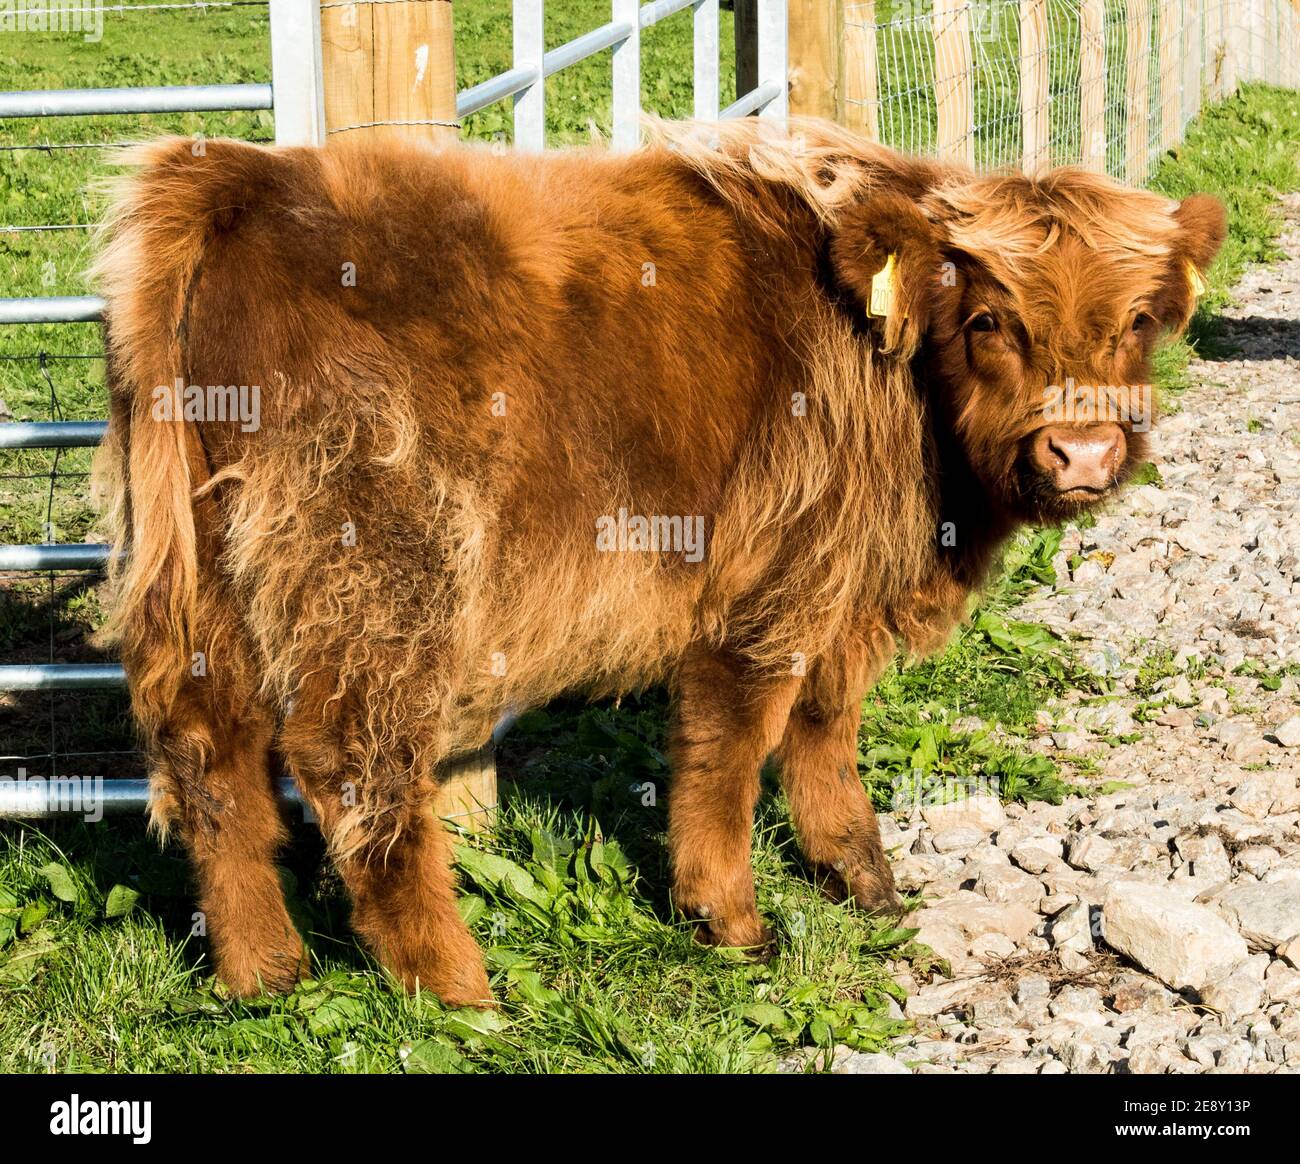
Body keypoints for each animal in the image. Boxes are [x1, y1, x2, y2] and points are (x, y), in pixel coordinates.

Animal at [91, 118, 1226, 1004]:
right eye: (989, 319)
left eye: (1136, 321)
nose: (1082, 451)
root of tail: (236, 178)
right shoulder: (769, 588)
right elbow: (730, 749)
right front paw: (730, 920)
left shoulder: (840, 589)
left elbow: (825, 726)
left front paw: (858, 875)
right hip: (376, 566)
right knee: (352, 761)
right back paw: (459, 991)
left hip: (208, 582)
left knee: (211, 751)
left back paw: (262, 974)